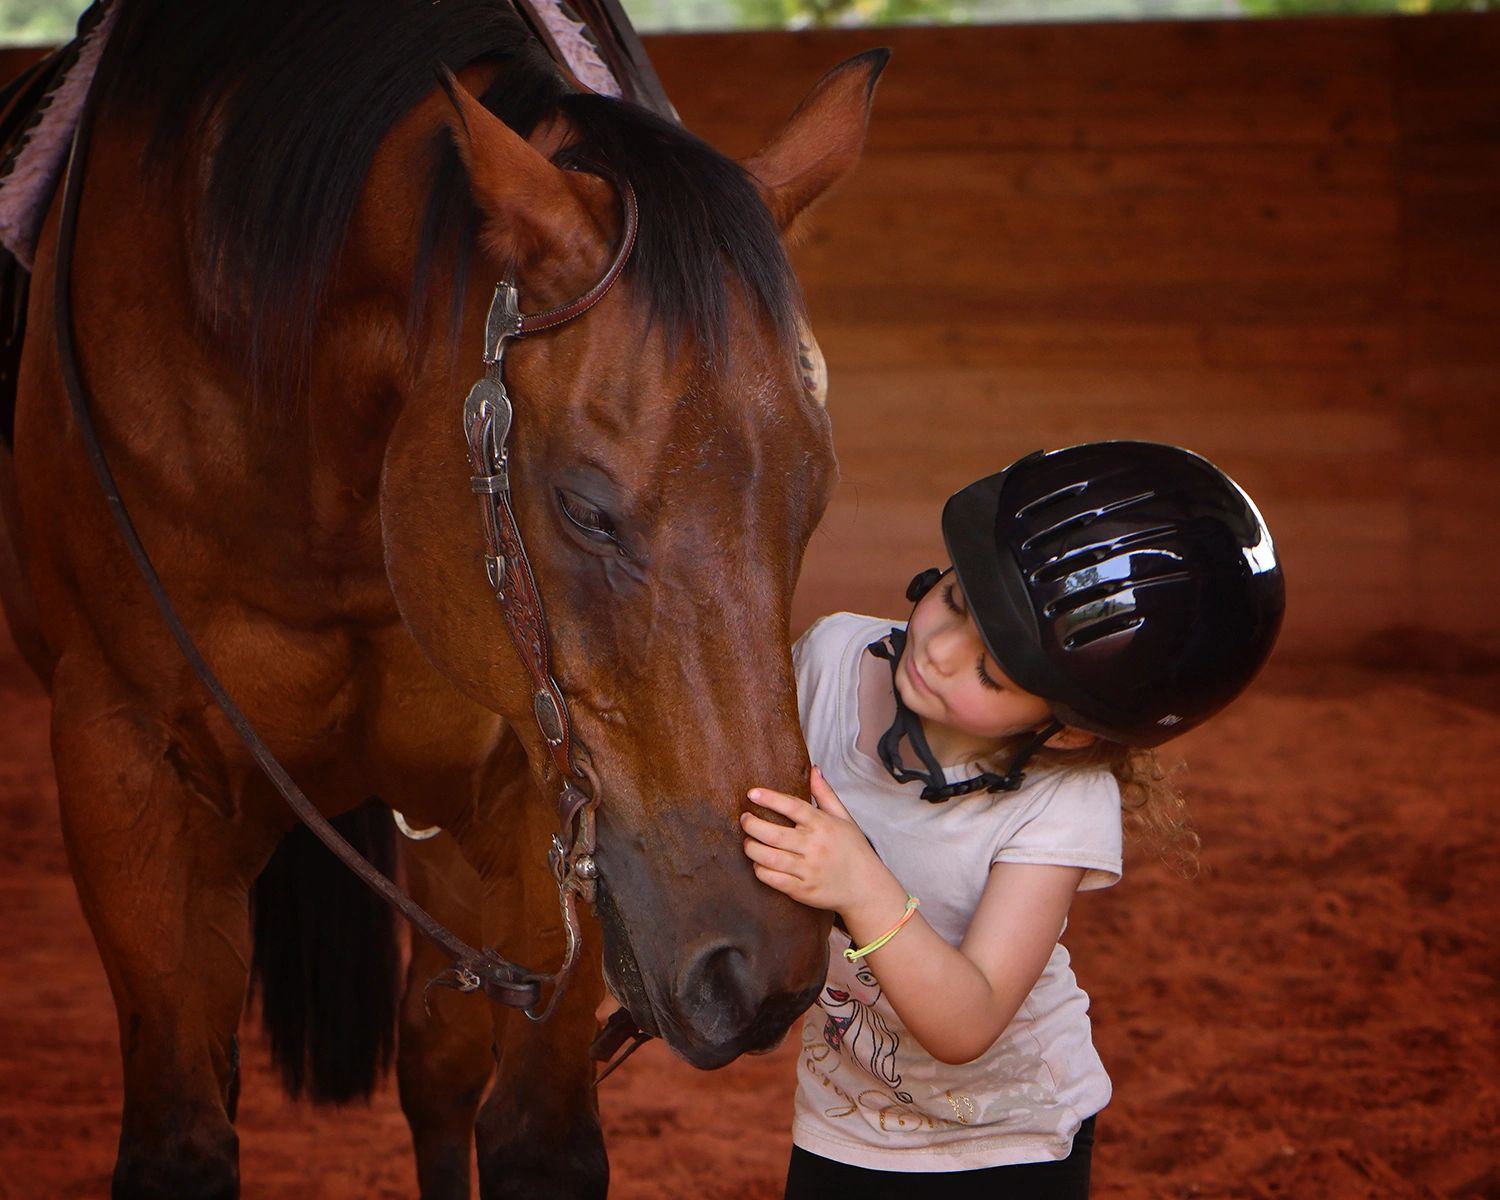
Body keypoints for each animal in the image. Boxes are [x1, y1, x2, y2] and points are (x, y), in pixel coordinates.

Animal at [0, 0, 886, 1193]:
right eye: (585, 508)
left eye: (813, 492)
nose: (759, 971)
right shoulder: (122, 763)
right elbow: (181, 1135)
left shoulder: (546, 806)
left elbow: (532, 1134)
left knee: (435, 1066)